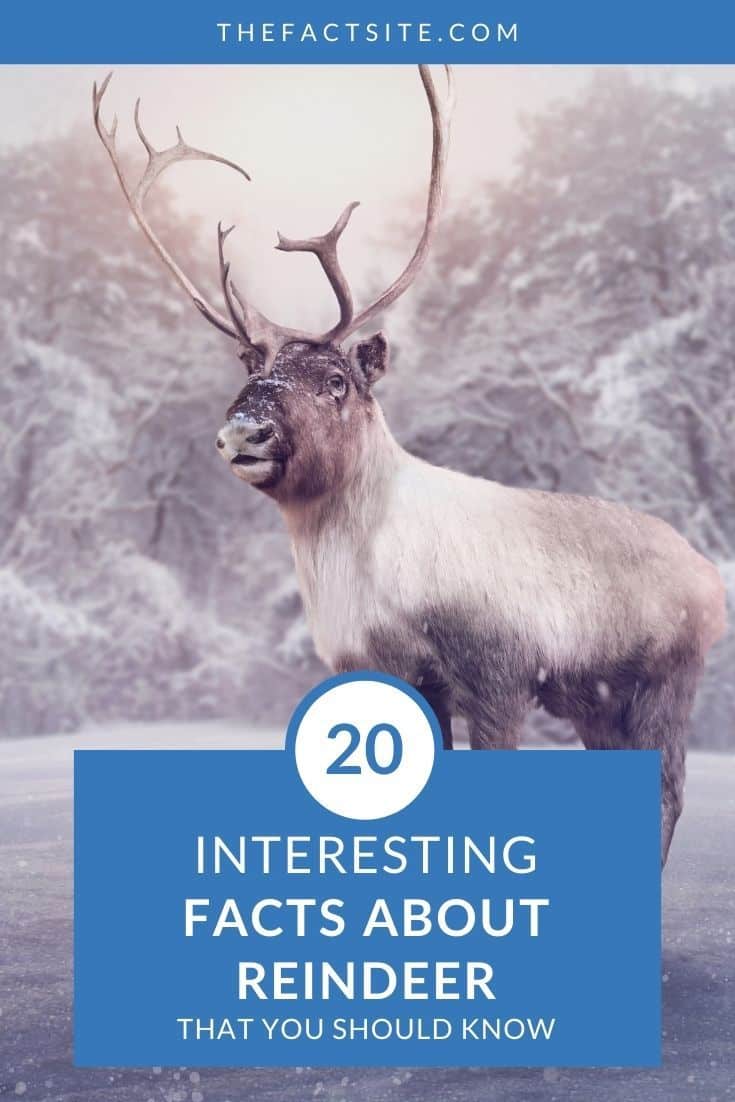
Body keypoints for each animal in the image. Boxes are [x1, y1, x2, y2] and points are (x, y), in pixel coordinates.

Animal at [93, 67, 726, 865]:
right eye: (252, 370)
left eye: (336, 380)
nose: (244, 430)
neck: (380, 591)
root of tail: (711, 580)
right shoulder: (382, 668)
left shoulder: (498, 671)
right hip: (596, 698)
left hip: (664, 678)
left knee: (669, 792)